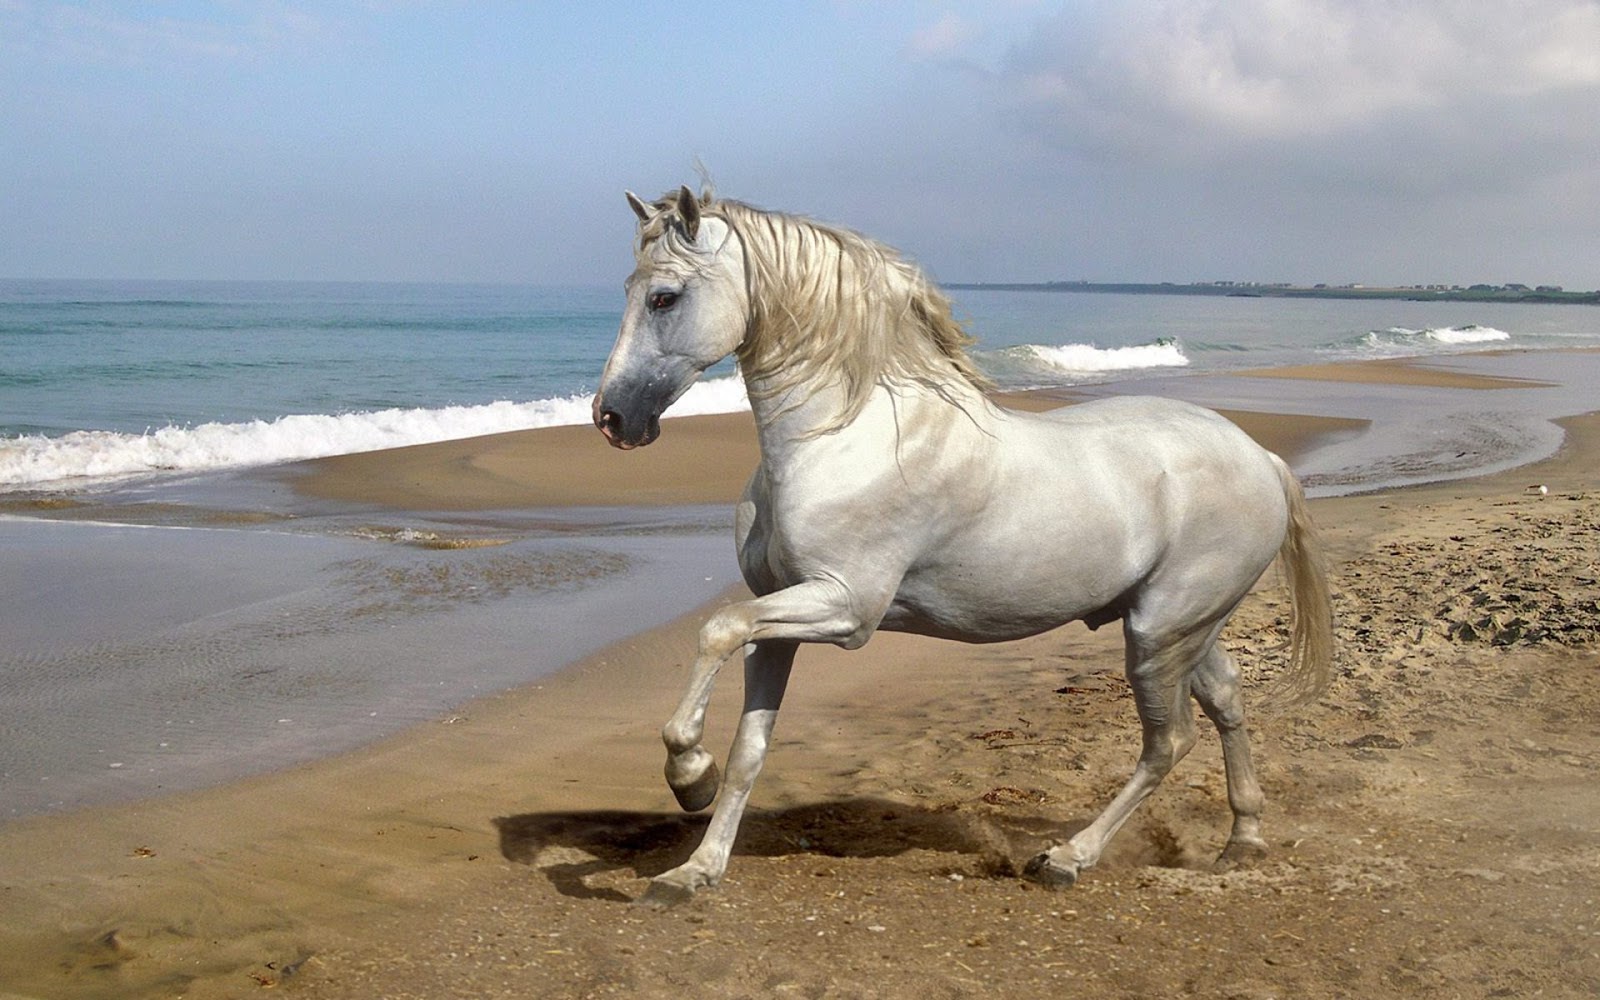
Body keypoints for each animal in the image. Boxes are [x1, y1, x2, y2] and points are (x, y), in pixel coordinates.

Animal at [593, 186, 1334, 907]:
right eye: (629, 287)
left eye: (664, 296)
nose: (612, 417)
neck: (844, 435)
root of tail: (1262, 458)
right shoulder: (779, 617)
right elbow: (750, 746)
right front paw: (693, 870)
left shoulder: (846, 609)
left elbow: (715, 630)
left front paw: (689, 775)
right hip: (1183, 627)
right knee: (1227, 701)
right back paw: (1243, 839)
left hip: (1159, 633)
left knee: (1168, 741)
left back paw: (1067, 858)